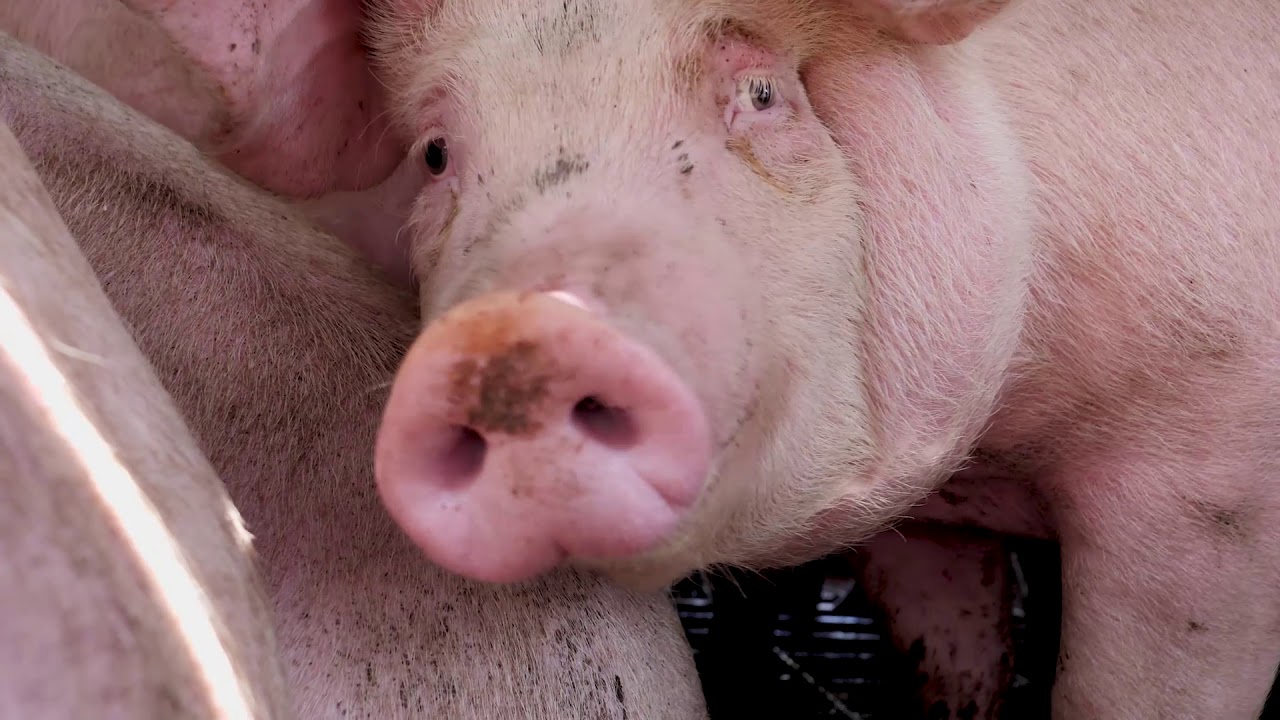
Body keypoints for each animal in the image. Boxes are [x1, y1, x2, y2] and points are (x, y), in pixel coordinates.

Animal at [353, 0, 1280, 717]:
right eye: (434, 153)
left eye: (764, 94)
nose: (521, 333)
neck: (996, 457)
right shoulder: (933, 526)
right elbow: (951, 657)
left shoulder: (1207, 476)